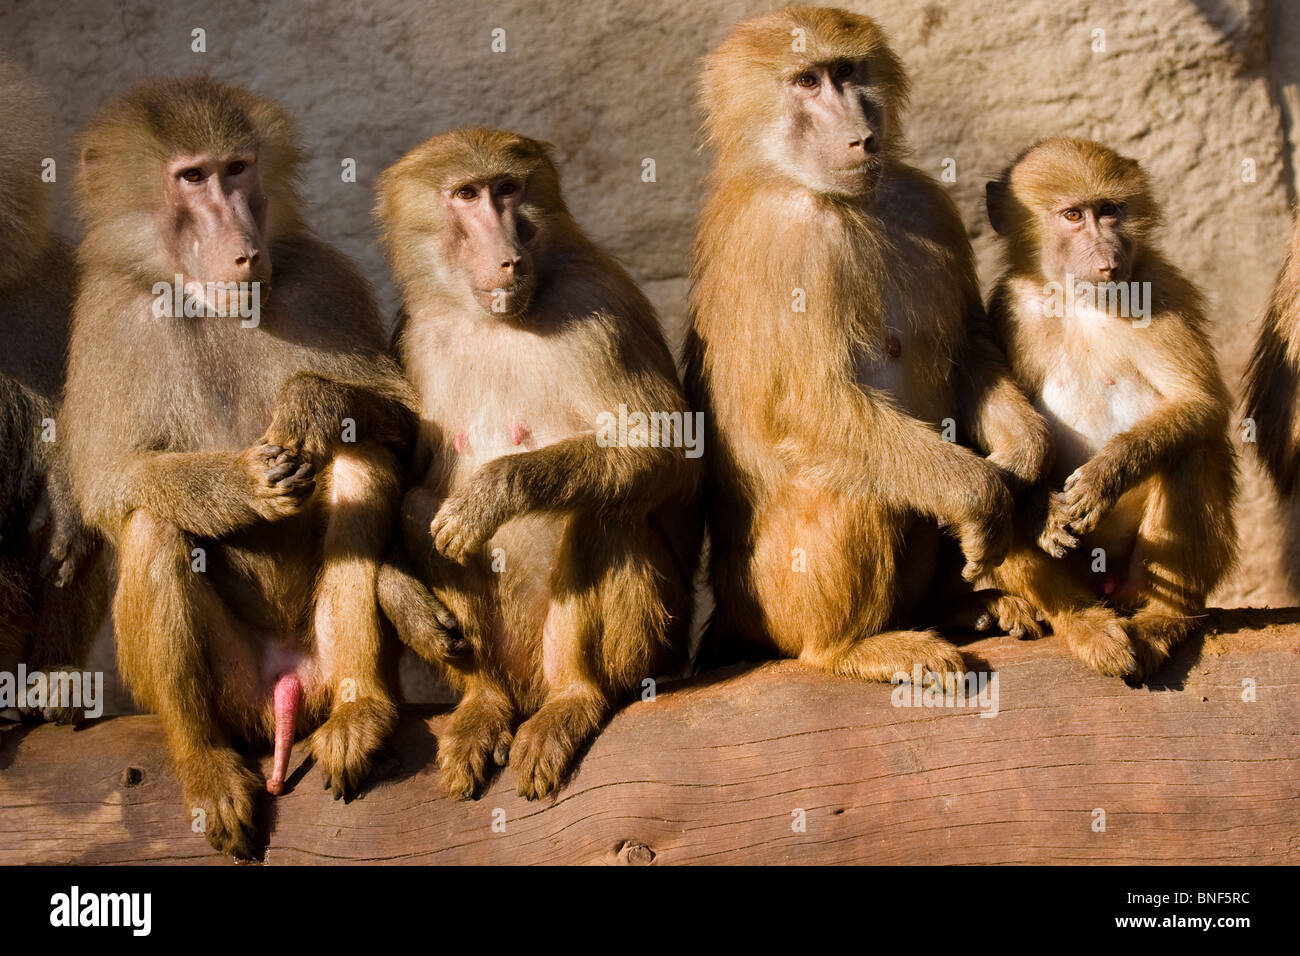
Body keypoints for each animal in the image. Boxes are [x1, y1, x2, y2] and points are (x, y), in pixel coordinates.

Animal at [61, 76, 416, 856]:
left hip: (319, 656)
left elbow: (406, 427)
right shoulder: (109, 318)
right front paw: (243, 486)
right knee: (154, 525)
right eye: (192, 177)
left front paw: (312, 404)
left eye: (237, 170)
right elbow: (107, 483)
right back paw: (203, 764)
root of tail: (281, 689)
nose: (245, 252)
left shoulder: (321, 278)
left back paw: (359, 714)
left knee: (359, 462)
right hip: (229, 691)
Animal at [373, 128, 701, 800]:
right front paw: (402, 599)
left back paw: (575, 700)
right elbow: (403, 486)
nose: (508, 259)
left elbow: (669, 451)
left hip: (650, 645)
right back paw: (484, 705)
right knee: (421, 510)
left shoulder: (598, 306)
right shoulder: (410, 335)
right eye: (466, 195)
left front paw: (495, 493)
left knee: (599, 512)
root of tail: (528, 688)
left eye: (507, 189)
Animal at [683, 6, 1052, 683]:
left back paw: (964, 608)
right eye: (806, 81)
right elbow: (806, 402)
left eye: (847, 71)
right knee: (849, 482)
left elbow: (967, 348)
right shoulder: (788, 237)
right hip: (773, 598)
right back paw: (855, 647)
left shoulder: (925, 201)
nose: (860, 137)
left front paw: (1024, 452)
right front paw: (981, 495)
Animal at [982, 136, 1237, 680]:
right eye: (1073, 215)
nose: (1108, 258)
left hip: (1141, 576)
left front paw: (1106, 475)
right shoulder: (1011, 306)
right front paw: (1042, 512)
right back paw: (1083, 622)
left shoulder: (1157, 285)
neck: (1080, 300)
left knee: (1192, 450)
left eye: (1110, 211)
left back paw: (1162, 620)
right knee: (994, 488)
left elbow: (1200, 404)